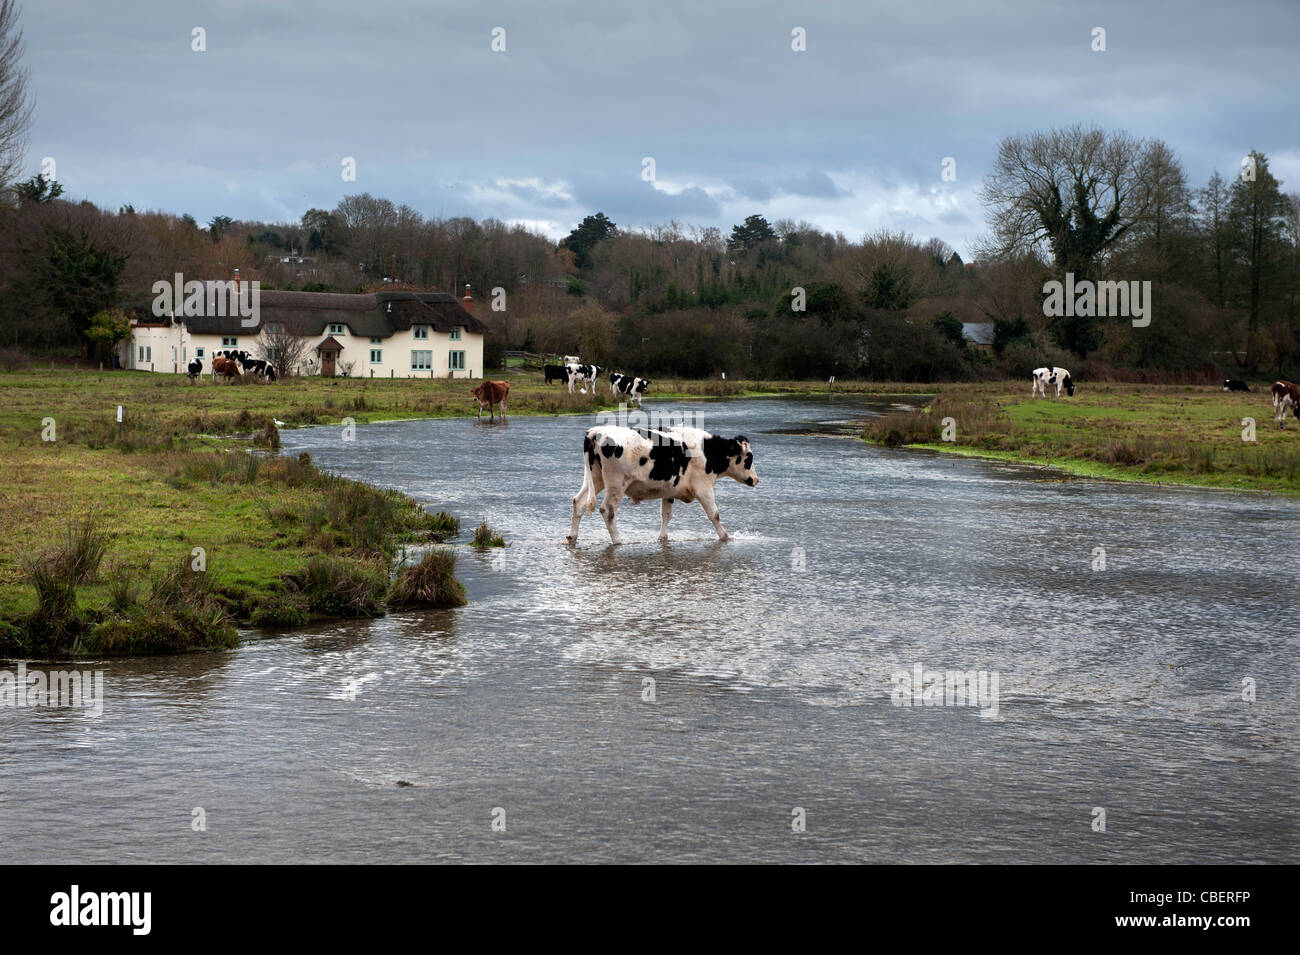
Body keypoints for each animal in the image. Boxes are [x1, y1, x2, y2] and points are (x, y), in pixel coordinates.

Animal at [566, 425, 758, 545]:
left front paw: (663, 538)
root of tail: (596, 432)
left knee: (579, 502)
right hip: (616, 484)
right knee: (607, 510)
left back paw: (572, 538)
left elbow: (666, 515)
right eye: (748, 457)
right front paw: (726, 537)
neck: (708, 450)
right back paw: (618, 541)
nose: (756, 479)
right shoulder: (703, 487)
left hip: (595, 478)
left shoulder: (669, 490)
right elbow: (714, 514)